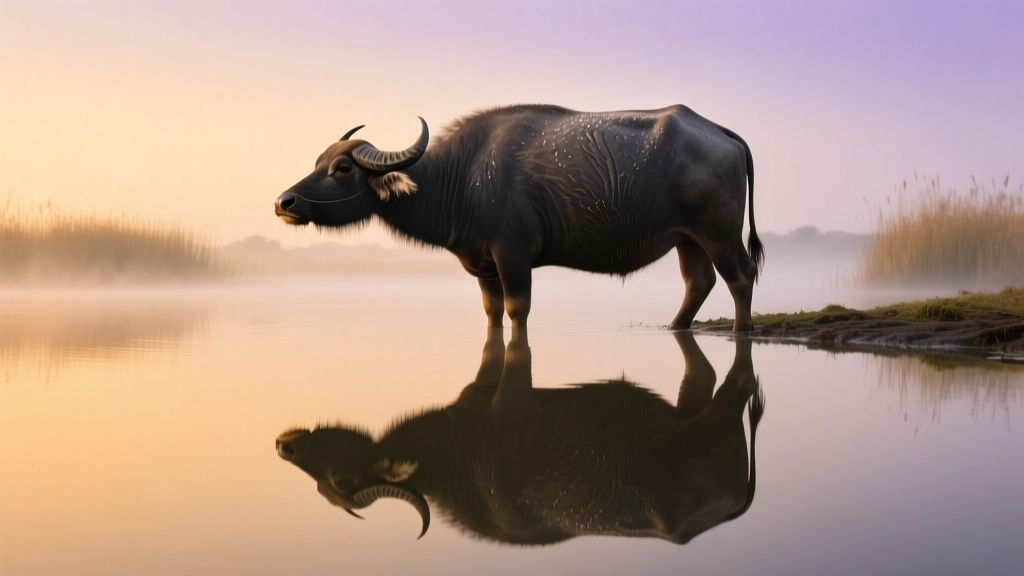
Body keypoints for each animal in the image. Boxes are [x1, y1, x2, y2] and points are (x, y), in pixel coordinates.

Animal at [275, 105, 764, 331]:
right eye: (318, 161)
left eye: (343, 169)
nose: (284, 202)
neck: (464, 178)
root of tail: (721, 132)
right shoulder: (484, 268)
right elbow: (492, 313)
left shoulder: (512, 256)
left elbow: (517, 310)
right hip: (687, 239)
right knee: (698, 282)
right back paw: (674, 327)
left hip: (718, 233)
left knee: (741, 275)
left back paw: (742, 330)